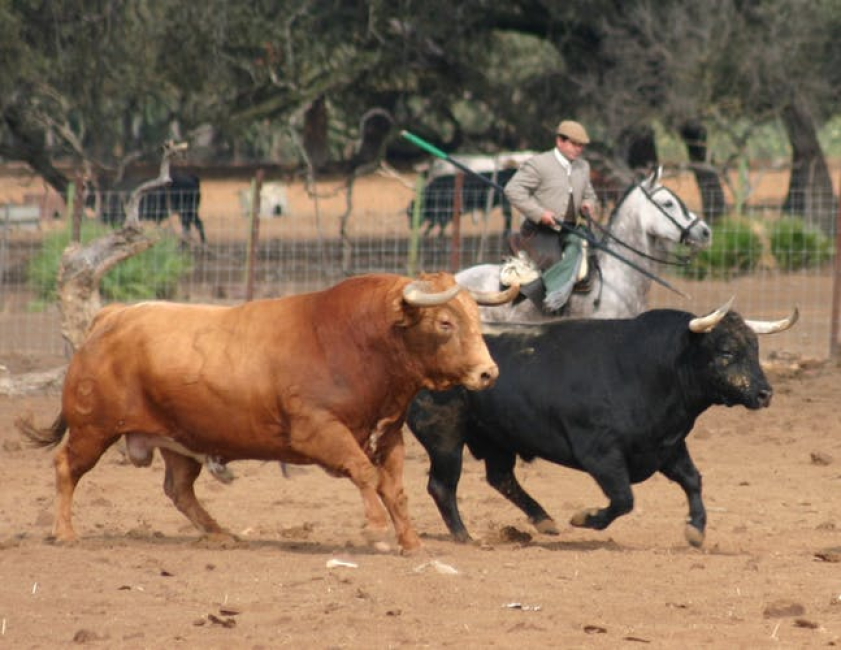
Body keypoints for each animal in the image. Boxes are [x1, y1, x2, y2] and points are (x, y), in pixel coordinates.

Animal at [17, 273, 518, 553]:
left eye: (476, 317)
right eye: (445, 322)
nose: (488, 372)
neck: (357, 341)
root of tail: (112, 317)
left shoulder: (389, 436)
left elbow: (394, 489)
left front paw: (410, 543)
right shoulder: (317, 431)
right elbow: (364, 473)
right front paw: (376, 530)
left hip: (178, 440)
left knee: (178, 489)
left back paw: (219, 533)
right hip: (93, 428)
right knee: (66, 467)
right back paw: (64, 532)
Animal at [407, 299, 798, 547]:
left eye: (755, 350)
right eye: (726, 351)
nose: (764, 393)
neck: (652, 369)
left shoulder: (666, 447)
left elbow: (693, 480)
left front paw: (696, 530)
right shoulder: (600, 452)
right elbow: (623, 498)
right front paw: (586, 518)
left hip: (498, 439)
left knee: (500, 477)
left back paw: (544, 521)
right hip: (445, 438)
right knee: (442, 486)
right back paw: (464, 536)